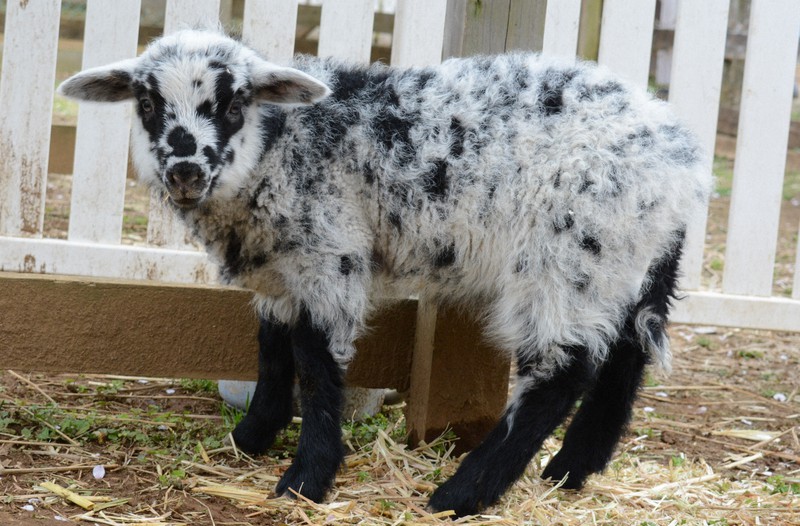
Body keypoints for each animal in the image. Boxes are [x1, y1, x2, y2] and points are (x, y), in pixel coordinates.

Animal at [58, 29, 711, 517]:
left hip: (568, 252)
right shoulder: (282, 269)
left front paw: (307, 478)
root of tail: (679, 158)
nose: (186, 171)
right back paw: (571, 470)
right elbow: (272, 349)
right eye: (146, 103)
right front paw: (252, 438)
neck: (279, 148)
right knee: (626, 353)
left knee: (563, 370)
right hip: (623, 257)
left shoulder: (330, 254)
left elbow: (315, 363)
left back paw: (464, 492)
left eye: (235, 103)